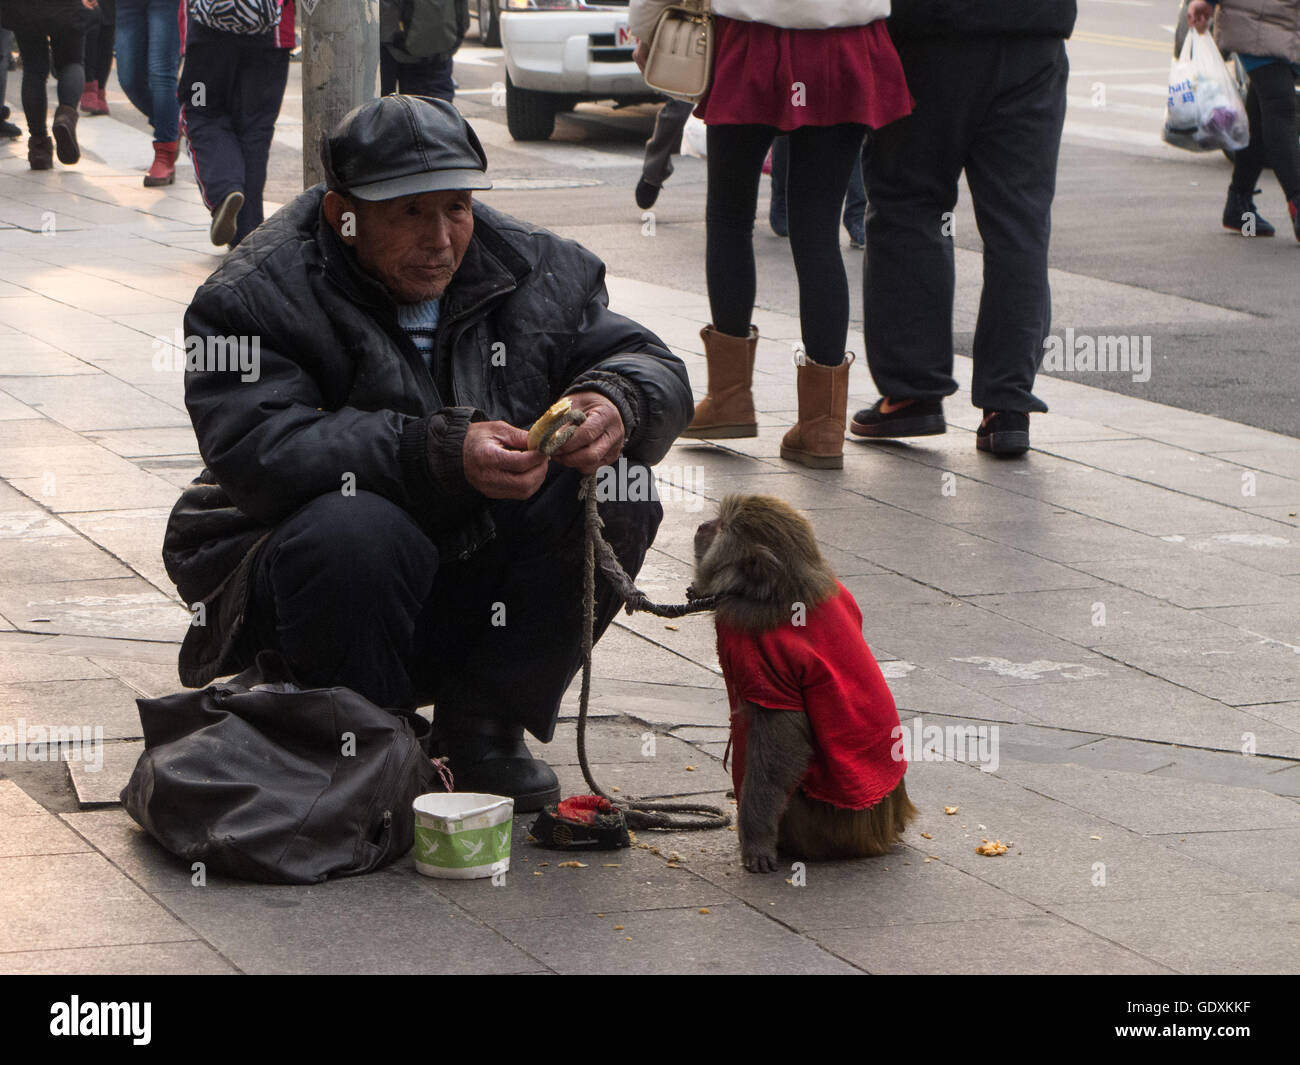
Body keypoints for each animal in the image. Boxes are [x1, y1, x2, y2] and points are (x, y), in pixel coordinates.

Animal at [693, 494, 918, 873]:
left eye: (722, 527)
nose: (702, 526)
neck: (781, 588)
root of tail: (883, 832)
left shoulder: (754, 644)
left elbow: (783, 736)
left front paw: (757, 840)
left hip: (825, 830)